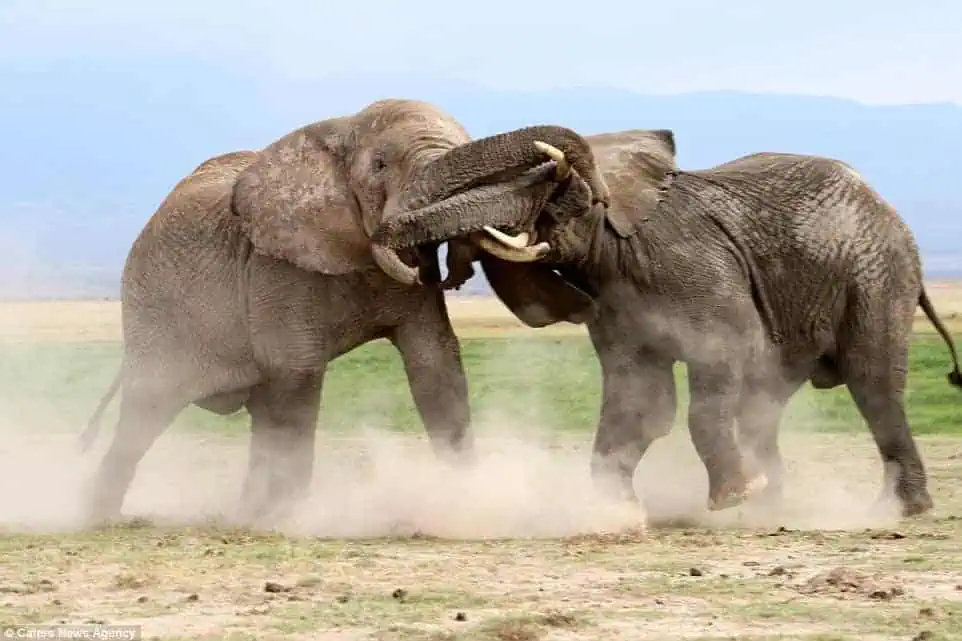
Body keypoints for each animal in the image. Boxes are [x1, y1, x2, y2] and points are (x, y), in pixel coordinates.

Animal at [77, 98, 609, 525]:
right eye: (379, 165)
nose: (563, 173)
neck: (338, 131)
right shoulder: (277, 266)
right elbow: (299, 372)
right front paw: (292, 520)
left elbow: (435, 364)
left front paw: (467, 498)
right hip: (155, 310)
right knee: (145, 414)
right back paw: (99, 518)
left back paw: (244, 513)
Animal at [372, 127, 962, 519]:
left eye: (553, 183)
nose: (438, 269)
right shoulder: (616, 301)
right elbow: (638, 397)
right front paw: (610, 509)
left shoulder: (700, 270)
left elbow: (717, 368)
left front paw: (730, 501)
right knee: (765, 403)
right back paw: (774, 503)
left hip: (876, 273)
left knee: (873, 383)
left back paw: (897, 510)